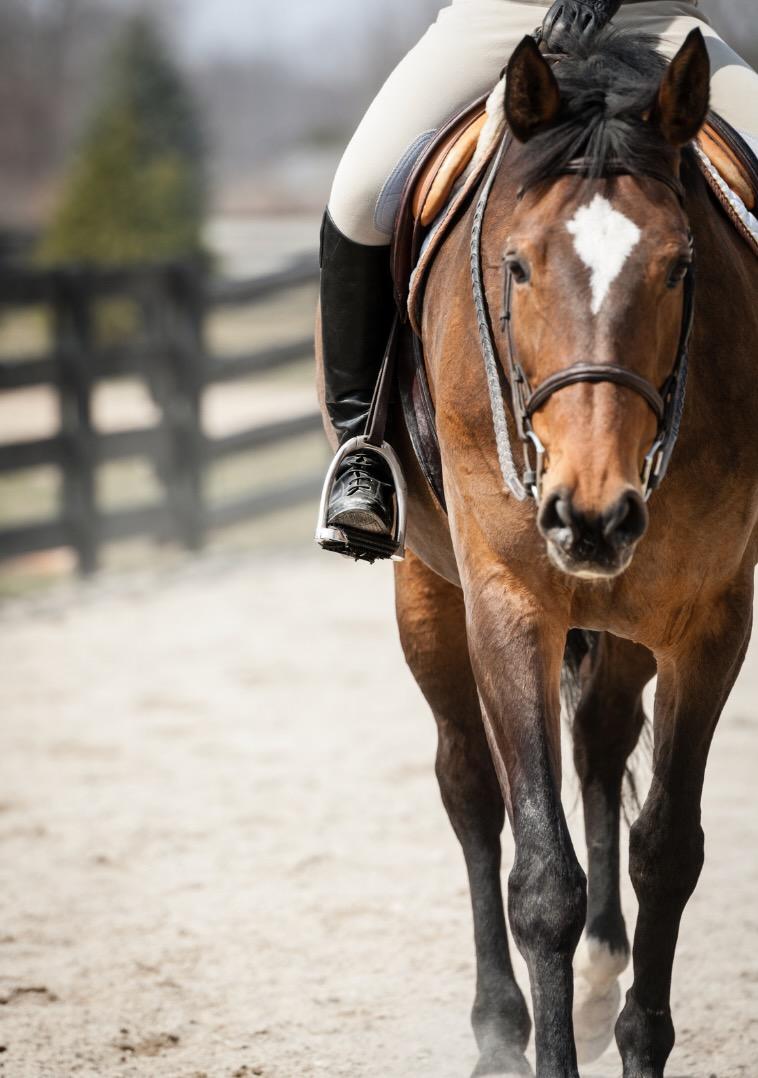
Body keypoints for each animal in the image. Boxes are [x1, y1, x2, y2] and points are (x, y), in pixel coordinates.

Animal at [316, 27, 758, 1078]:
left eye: (680, 267)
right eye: (515, 266)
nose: (590, 516)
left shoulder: (712, 619)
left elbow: (666, 851)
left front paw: (636, 1033)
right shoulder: (510, 603)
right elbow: (542, 877)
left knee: (598, 744)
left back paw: (599, 982)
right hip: (428, 590)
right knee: (471, 790)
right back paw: (498, 1028)